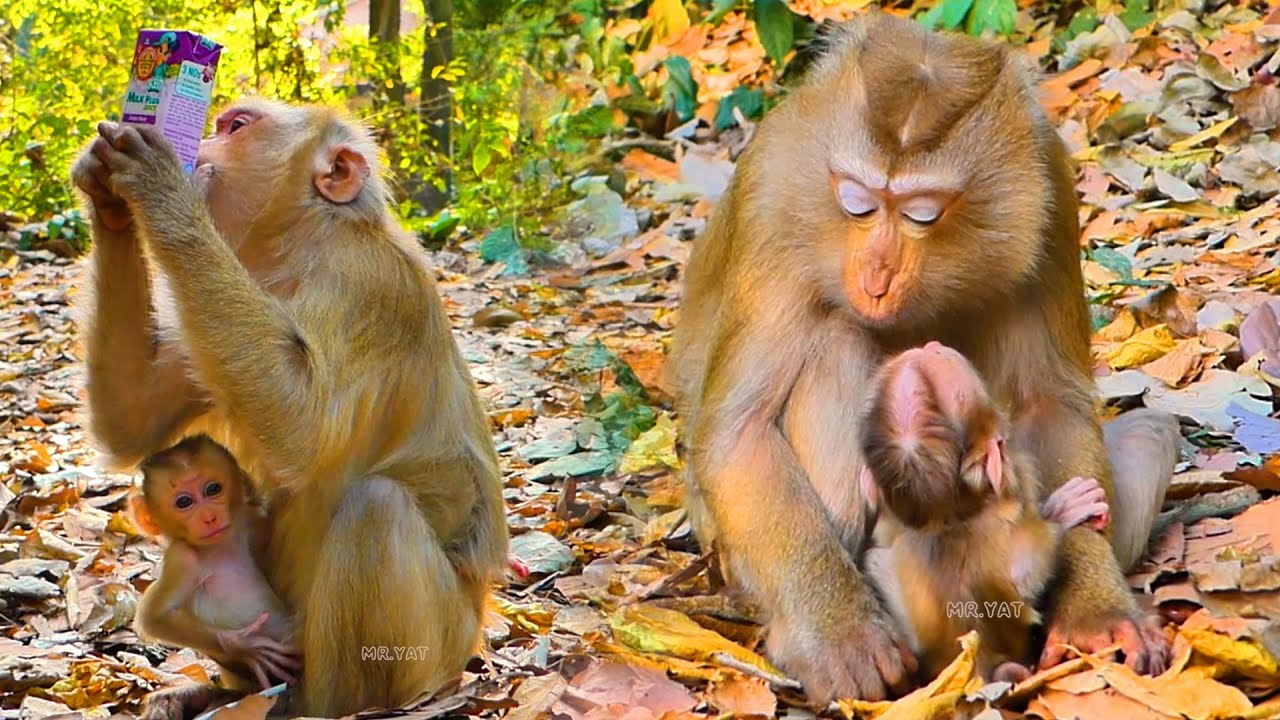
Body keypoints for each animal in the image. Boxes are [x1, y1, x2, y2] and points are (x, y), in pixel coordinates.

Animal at [131, 435, 297, 717]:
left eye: (213, 489)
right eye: (184, 502)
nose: (210, 517)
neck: (219, 548)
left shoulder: (248, 523)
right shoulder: (182, 560)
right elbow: (154, 618)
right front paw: (243, 645)